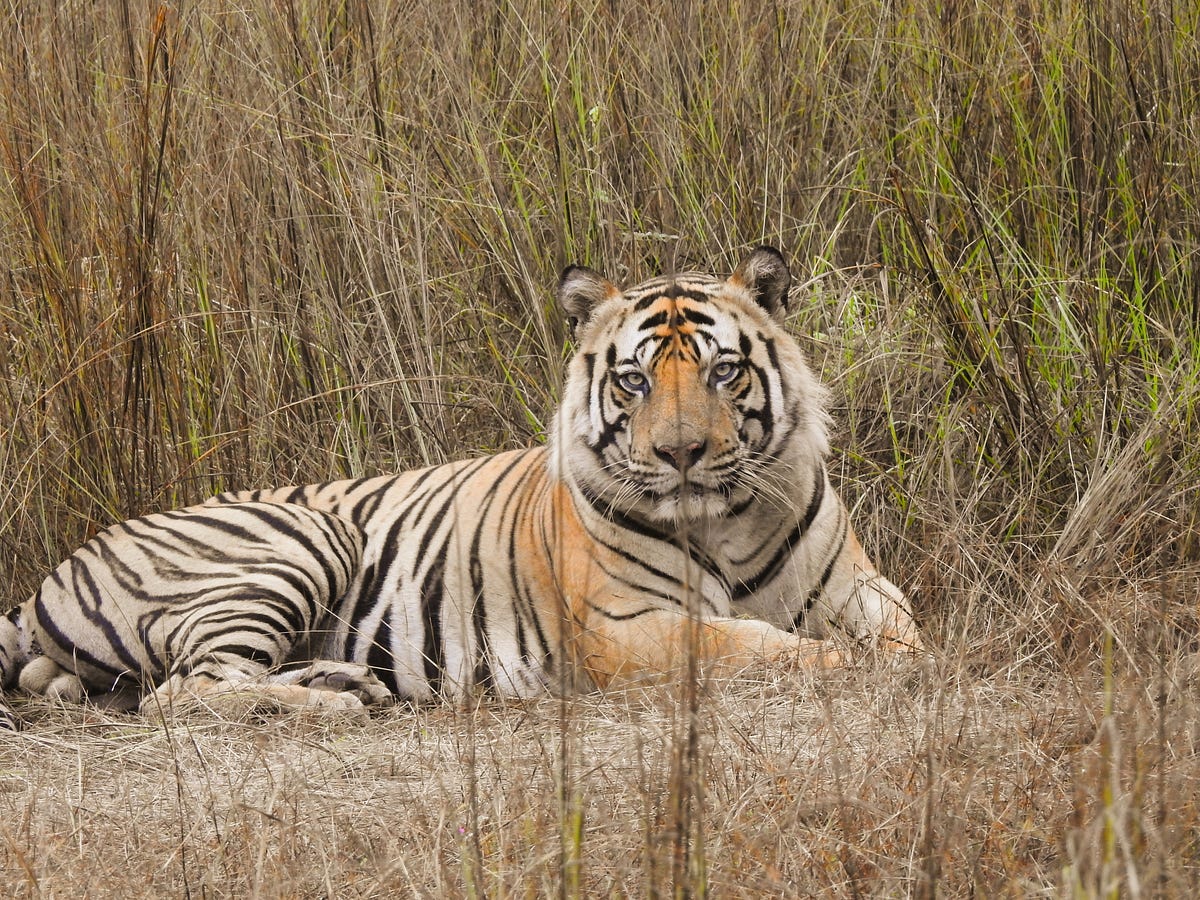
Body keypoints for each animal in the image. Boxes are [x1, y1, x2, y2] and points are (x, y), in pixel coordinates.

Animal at [0, 247, 922, 728]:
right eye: (633, 382)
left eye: (723, 371)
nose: (682, 453)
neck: (725, 522)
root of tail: (66, 560)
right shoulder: (629, 627)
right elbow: (753, 646)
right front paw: (843, 665)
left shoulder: (861, 586)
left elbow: (905, 632)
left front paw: (898, 661)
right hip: (293, 541)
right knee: (183, 693)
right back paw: (340, 703)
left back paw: (346, 682)